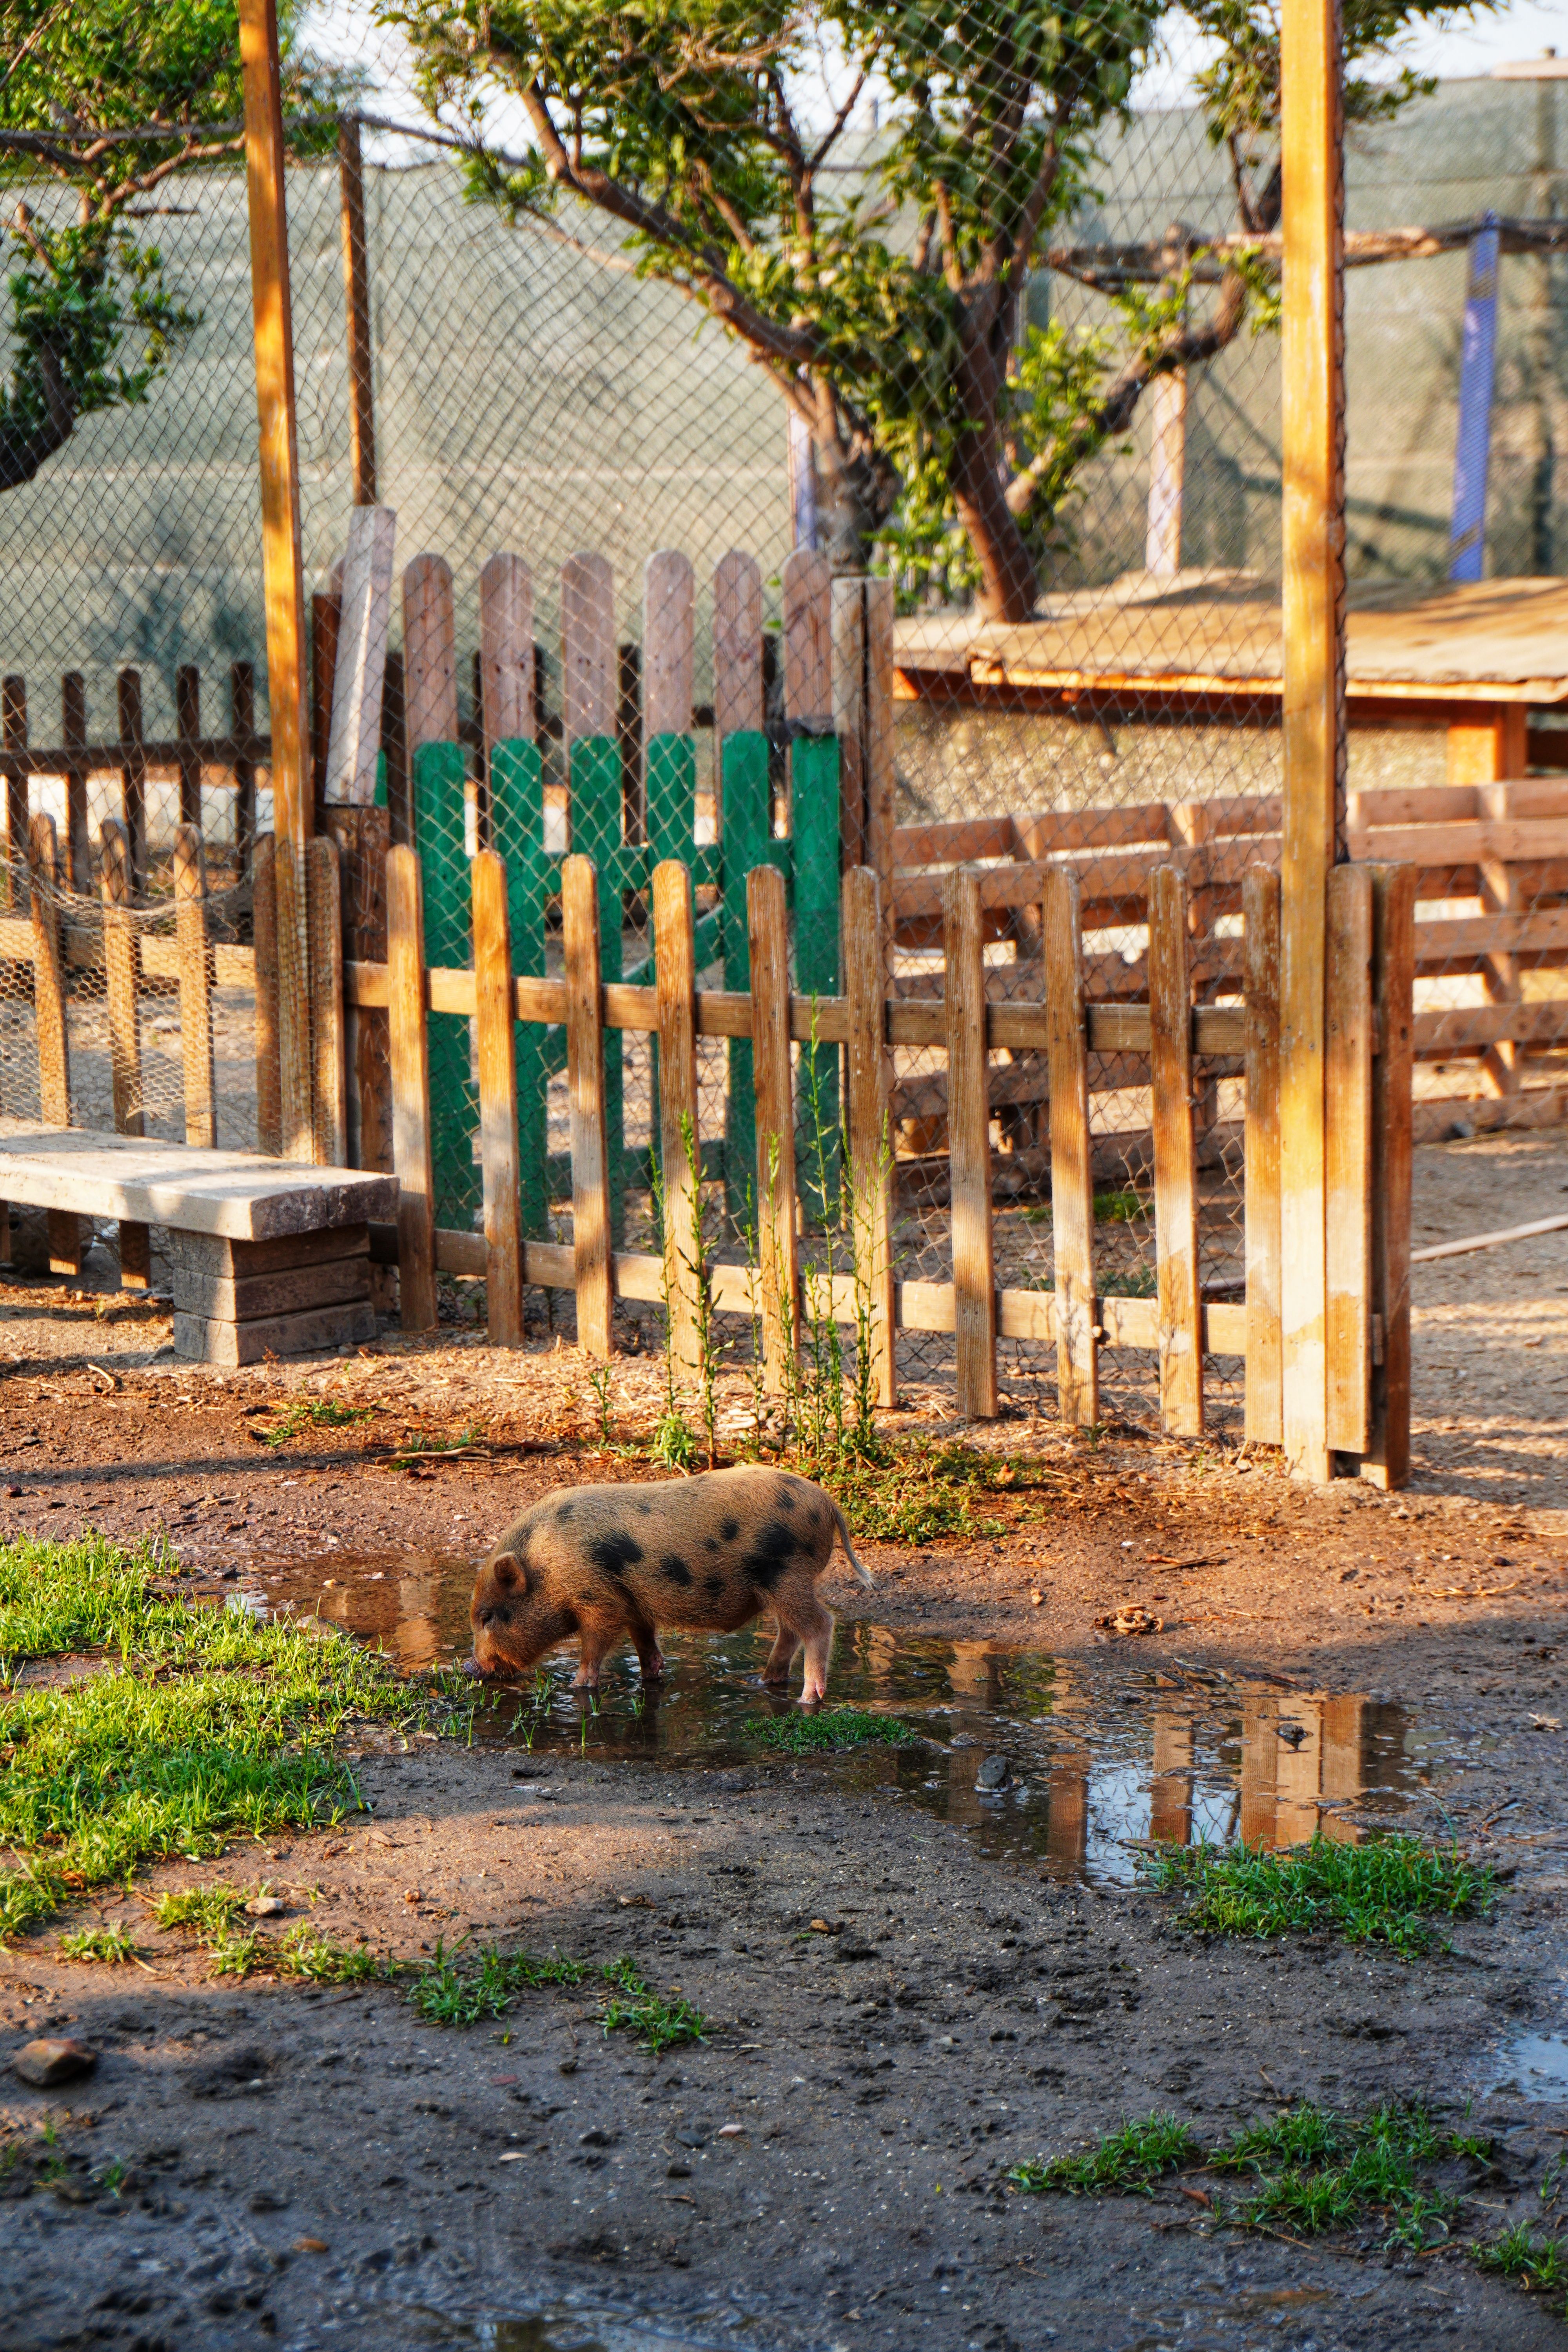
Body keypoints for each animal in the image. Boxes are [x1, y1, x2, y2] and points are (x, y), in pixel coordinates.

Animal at [469, 1464, 872, 1702]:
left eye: (488, 1617)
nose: (469, 1668)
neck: (547, 1566)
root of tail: (828, 1503)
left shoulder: (599, 1600)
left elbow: (594, 1647)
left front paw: (578, 1687)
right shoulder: (632, 1603)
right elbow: (645, 1642)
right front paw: (652, 1676)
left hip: (787, 1574)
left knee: (820, 1624)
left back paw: (808, 1698)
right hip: (780, 1583)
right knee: (790, 1630)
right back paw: (763, 1682)